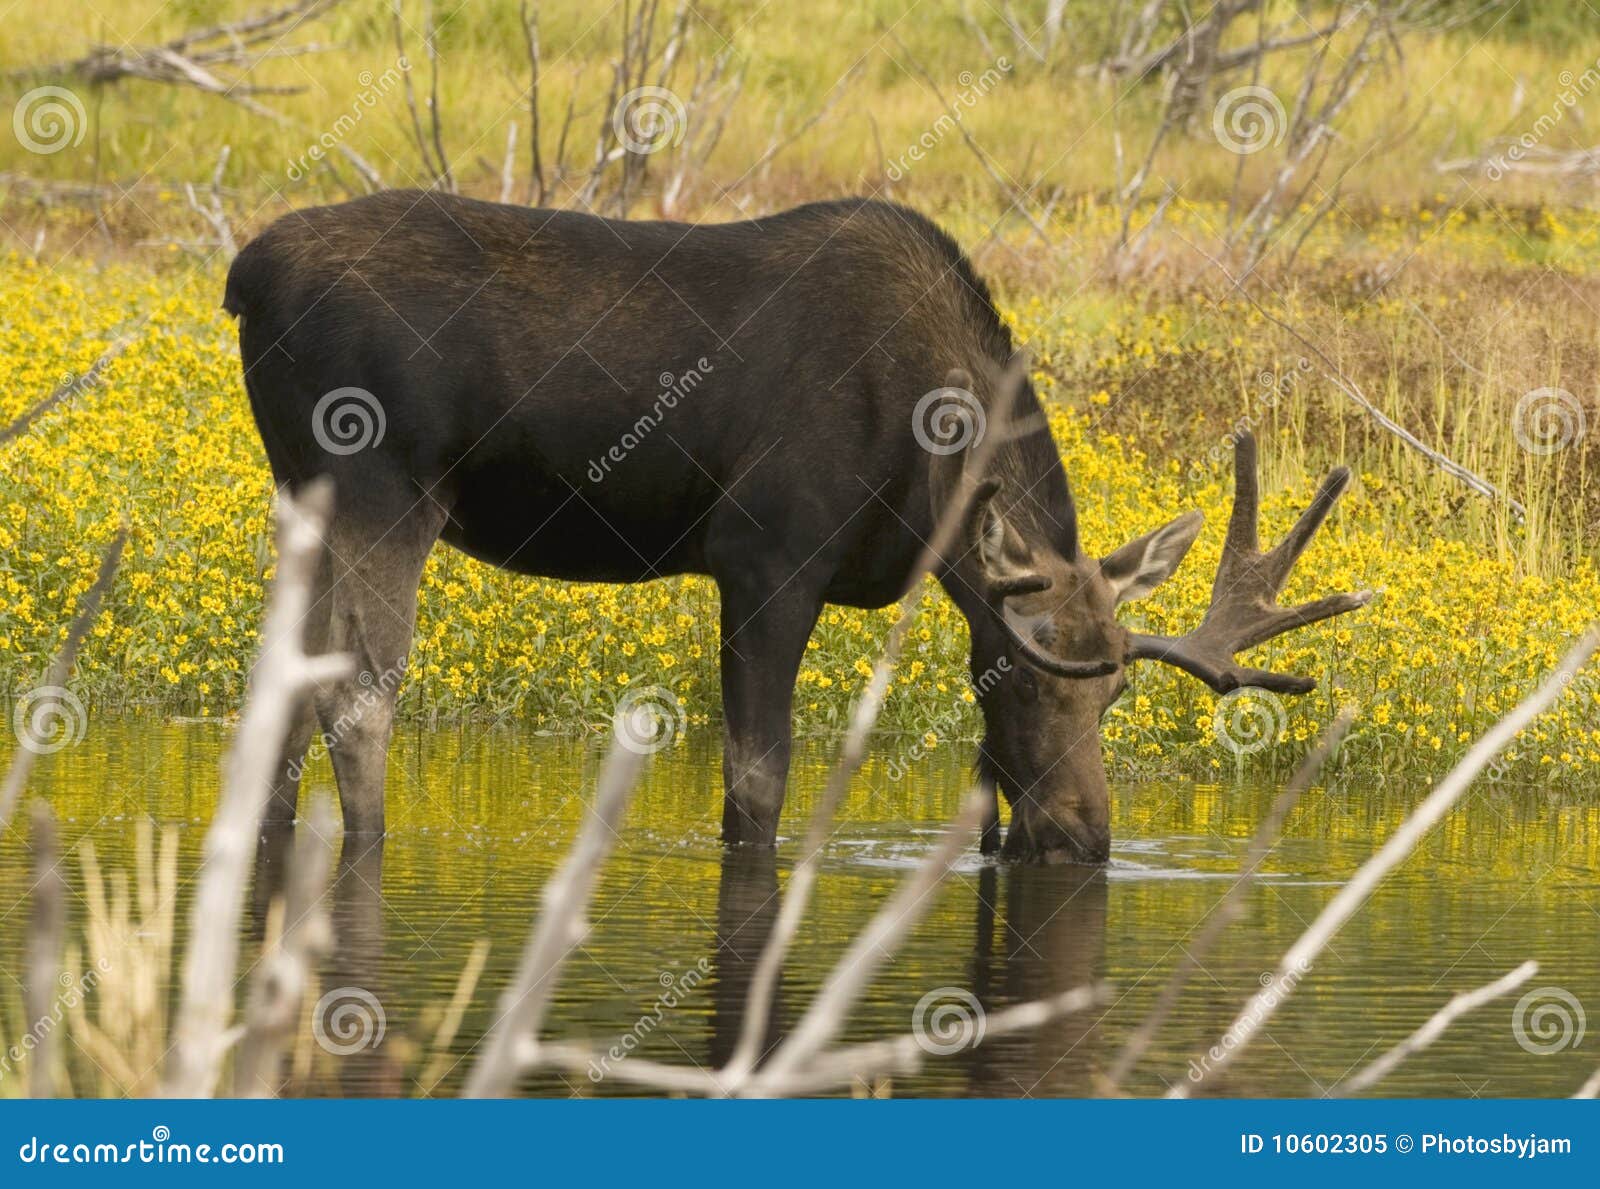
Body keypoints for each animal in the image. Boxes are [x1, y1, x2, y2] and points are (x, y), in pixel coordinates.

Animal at [225, 190, 1370, 863]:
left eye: (1119, 688)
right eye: (1032, 678)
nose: (1089, 839)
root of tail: (244, 275)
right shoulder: (764, 555)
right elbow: (757, 786)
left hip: (305, 489)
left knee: (284, 682)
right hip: (384, 484)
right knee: (359, 699)